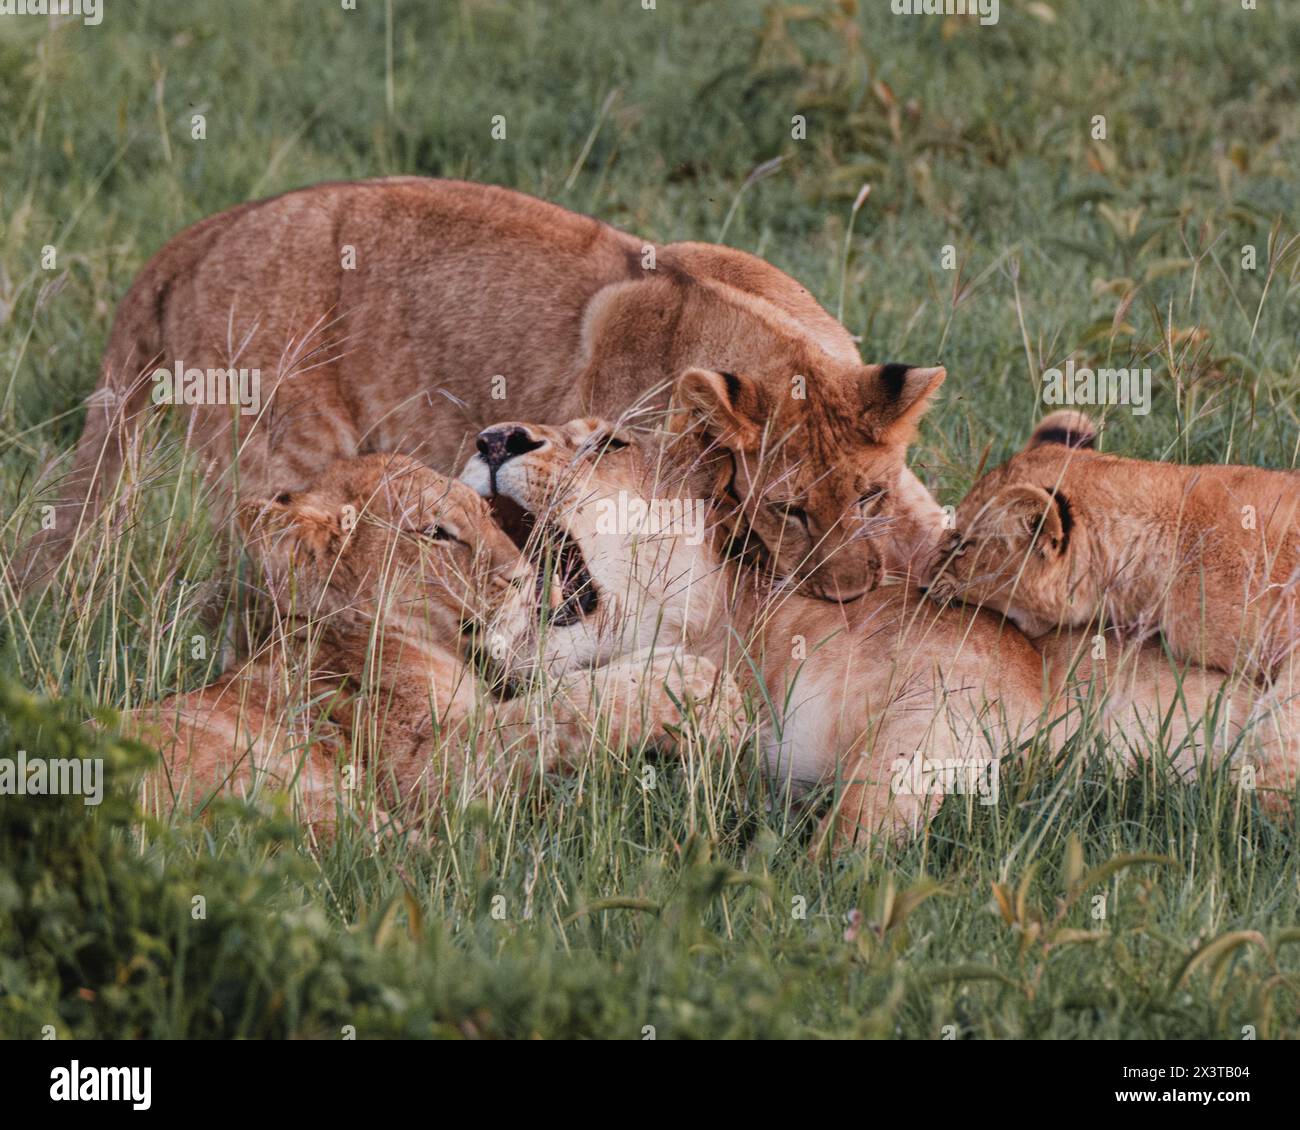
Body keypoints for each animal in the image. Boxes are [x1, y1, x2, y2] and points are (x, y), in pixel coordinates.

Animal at [126, 453, 729, 838]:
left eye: (486, 516)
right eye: (436, 534)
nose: (527, 577)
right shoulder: (430, 769)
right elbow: (556, 712)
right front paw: (694, 686)